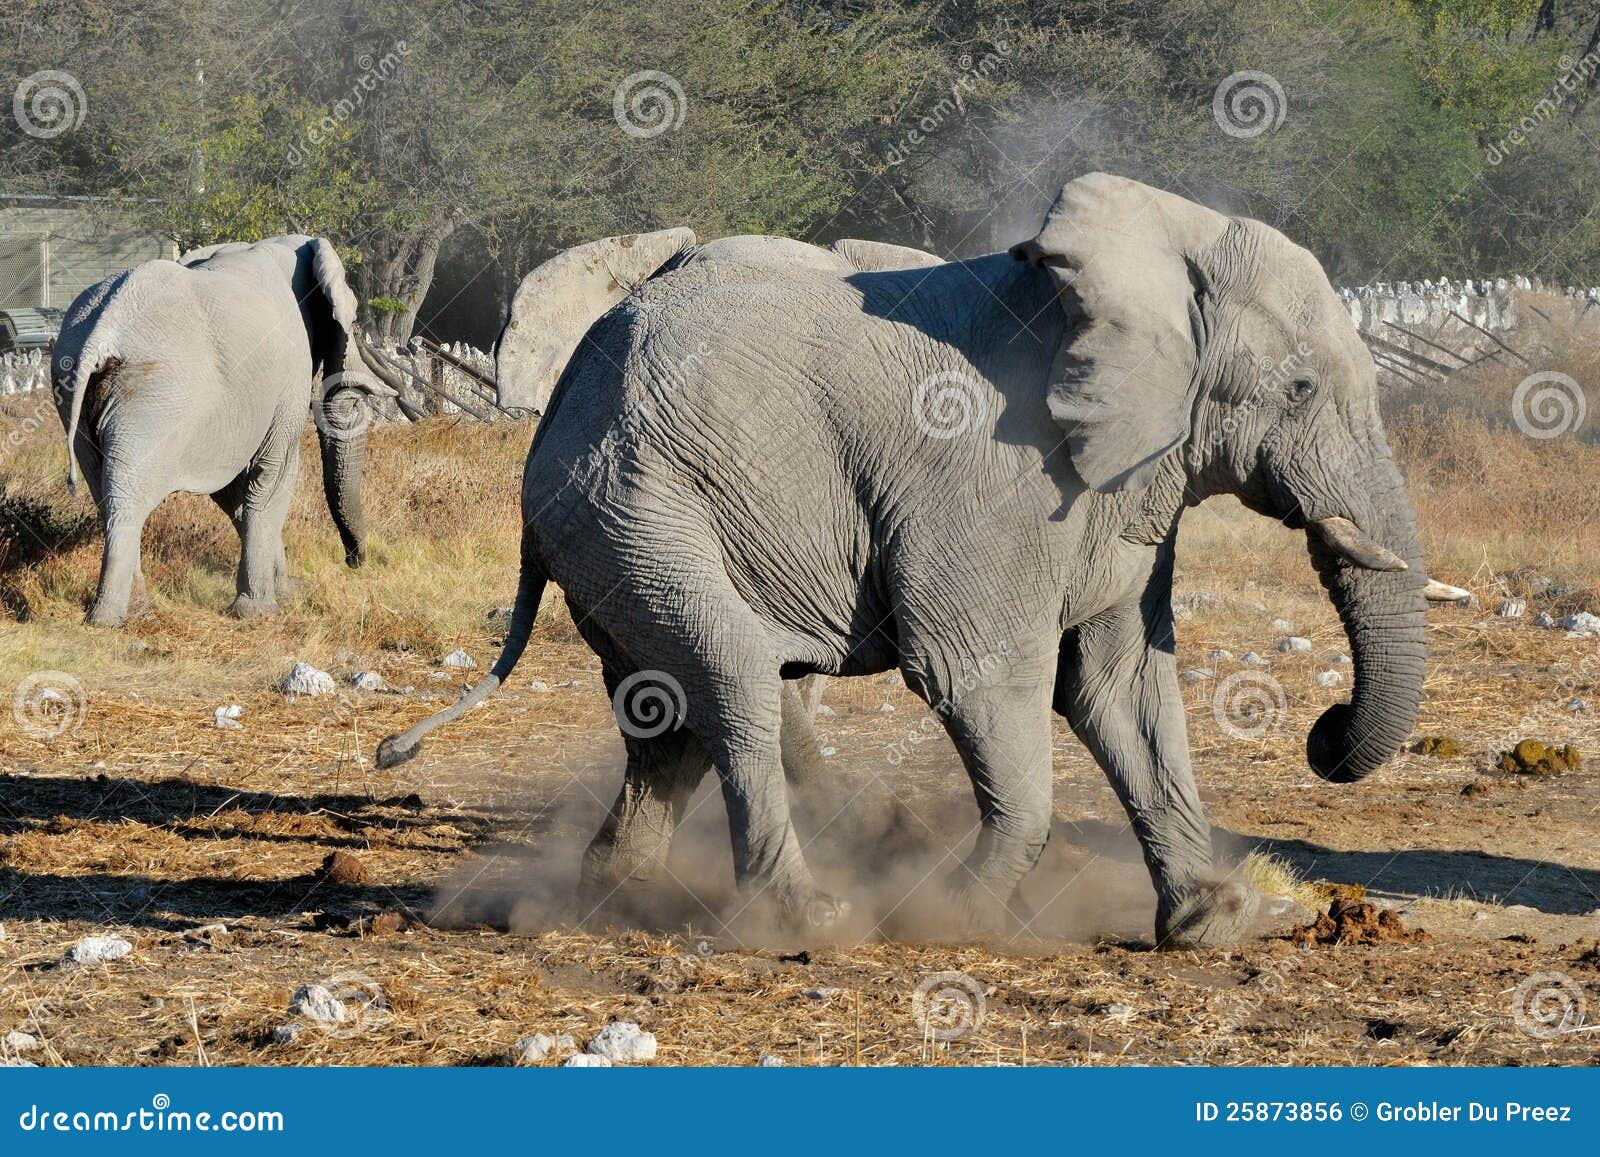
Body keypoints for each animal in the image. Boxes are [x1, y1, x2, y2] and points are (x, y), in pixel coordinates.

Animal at [51, 234, 395, 626]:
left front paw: (286, 593)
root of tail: (104, 330)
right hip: (154, 397)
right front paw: (260, 611)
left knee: (102, 490)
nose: (355, 562)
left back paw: (135, 611)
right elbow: (273, 477)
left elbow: (235, 491)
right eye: (349, 317)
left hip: (71, 386)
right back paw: (111, 619)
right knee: (127, 496)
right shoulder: (288, 377)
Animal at [382, 173, 1462, 947]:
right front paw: (953, 916)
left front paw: (1213, 922)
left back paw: (615, 897)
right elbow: (979, 676)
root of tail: (562, 395)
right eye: (1299, 386)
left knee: (666, 713)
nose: (1324, 731)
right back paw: (808, 922)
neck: (1141, 259)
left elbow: (1119, 686)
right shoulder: (985, 479)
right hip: (636, 503)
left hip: (620, 524)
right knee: (730, 680)